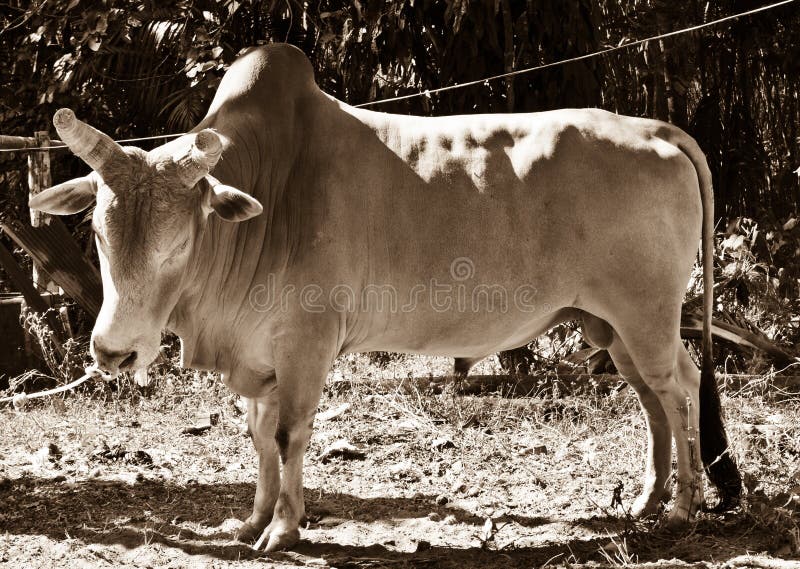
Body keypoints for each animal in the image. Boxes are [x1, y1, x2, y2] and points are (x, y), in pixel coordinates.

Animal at [30, 43, 740, 551]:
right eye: (98, 232)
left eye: (178, 243)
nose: (114, 352)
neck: (268, 198)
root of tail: (654, 128)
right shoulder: (259, 357)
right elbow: (258, 437)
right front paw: (251, 520)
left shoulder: (307, 345)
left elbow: (288, 433)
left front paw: (283, 529)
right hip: (609, 325)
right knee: (650, 398)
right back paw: (649, 499)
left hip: (646, 316)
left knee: (679, 386)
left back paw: (683, 506)